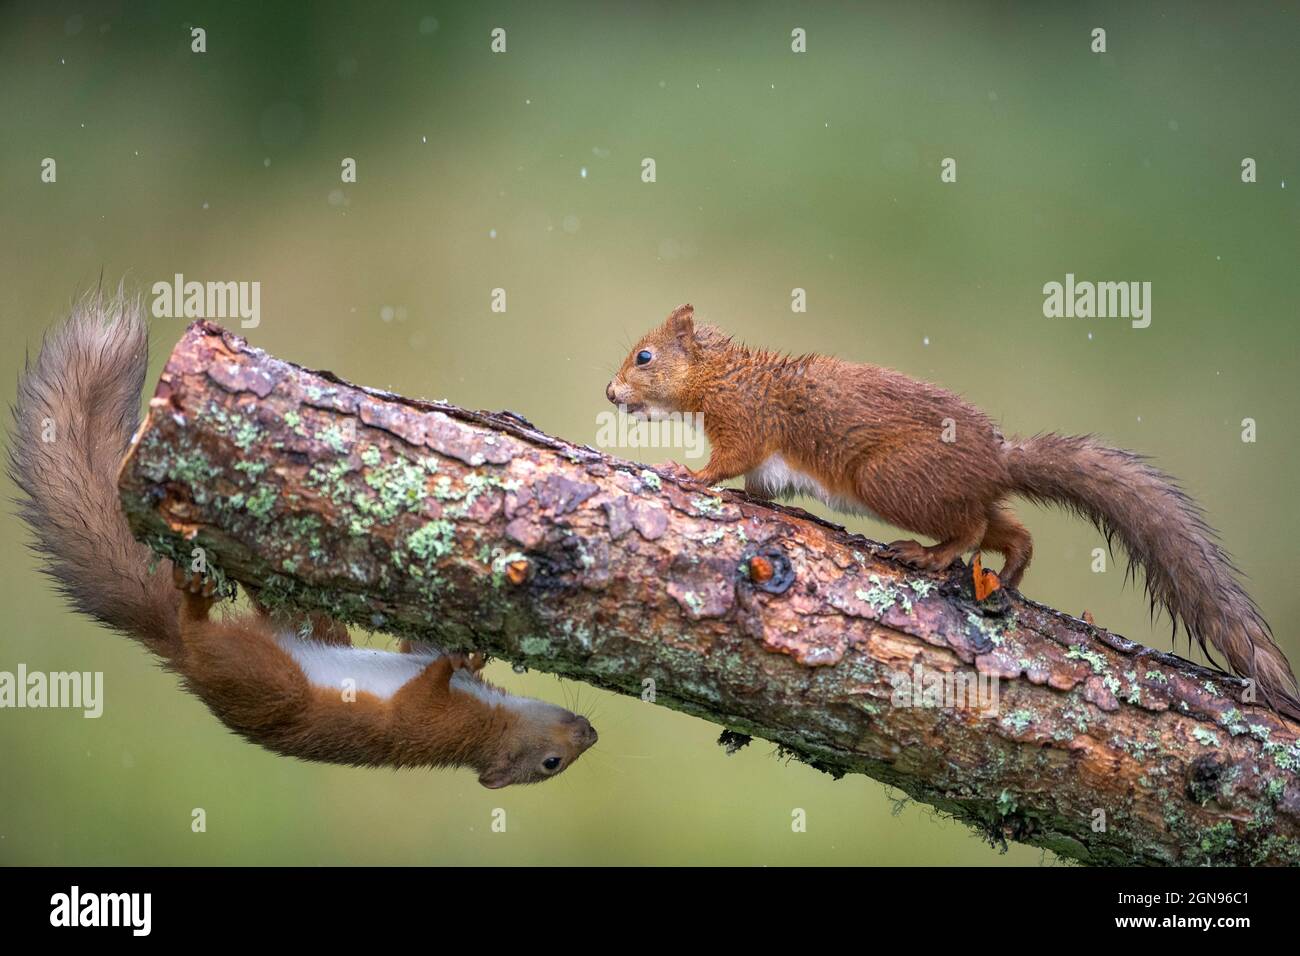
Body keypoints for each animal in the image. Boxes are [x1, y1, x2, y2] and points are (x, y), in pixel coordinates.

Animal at [8, 290, 597, 787]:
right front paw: (463, 658)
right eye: (552, 762)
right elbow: (424, 675)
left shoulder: (432, 718)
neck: (484, 719)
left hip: (264, 667)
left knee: (210, 629)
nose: (590, 732)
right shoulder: (432, 716)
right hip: (274, 669)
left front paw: (461, 658)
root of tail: (183, 662)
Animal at [606, 304, 1300, 721]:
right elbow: (757, 486)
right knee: (1010, 529)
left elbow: (725, 465)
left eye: (643, 357)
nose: (610, 393)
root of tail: (997, 459)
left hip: (891, 479)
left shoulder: (746, 425)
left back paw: (927, 555)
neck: (727, 377)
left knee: (969, 529)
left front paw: (683, 472)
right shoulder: (763, 460)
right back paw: (1009, 574)